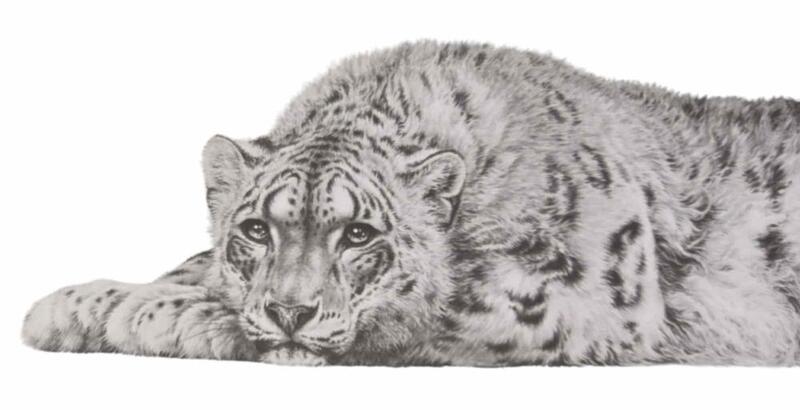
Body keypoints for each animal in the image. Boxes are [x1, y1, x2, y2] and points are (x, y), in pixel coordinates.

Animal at [22, 40, 800, 366]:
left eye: (360, 234)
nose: (291, 312)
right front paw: (67, 304)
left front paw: (144, 311)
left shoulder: (565, 295)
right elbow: (192, 267)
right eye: (256, 228)